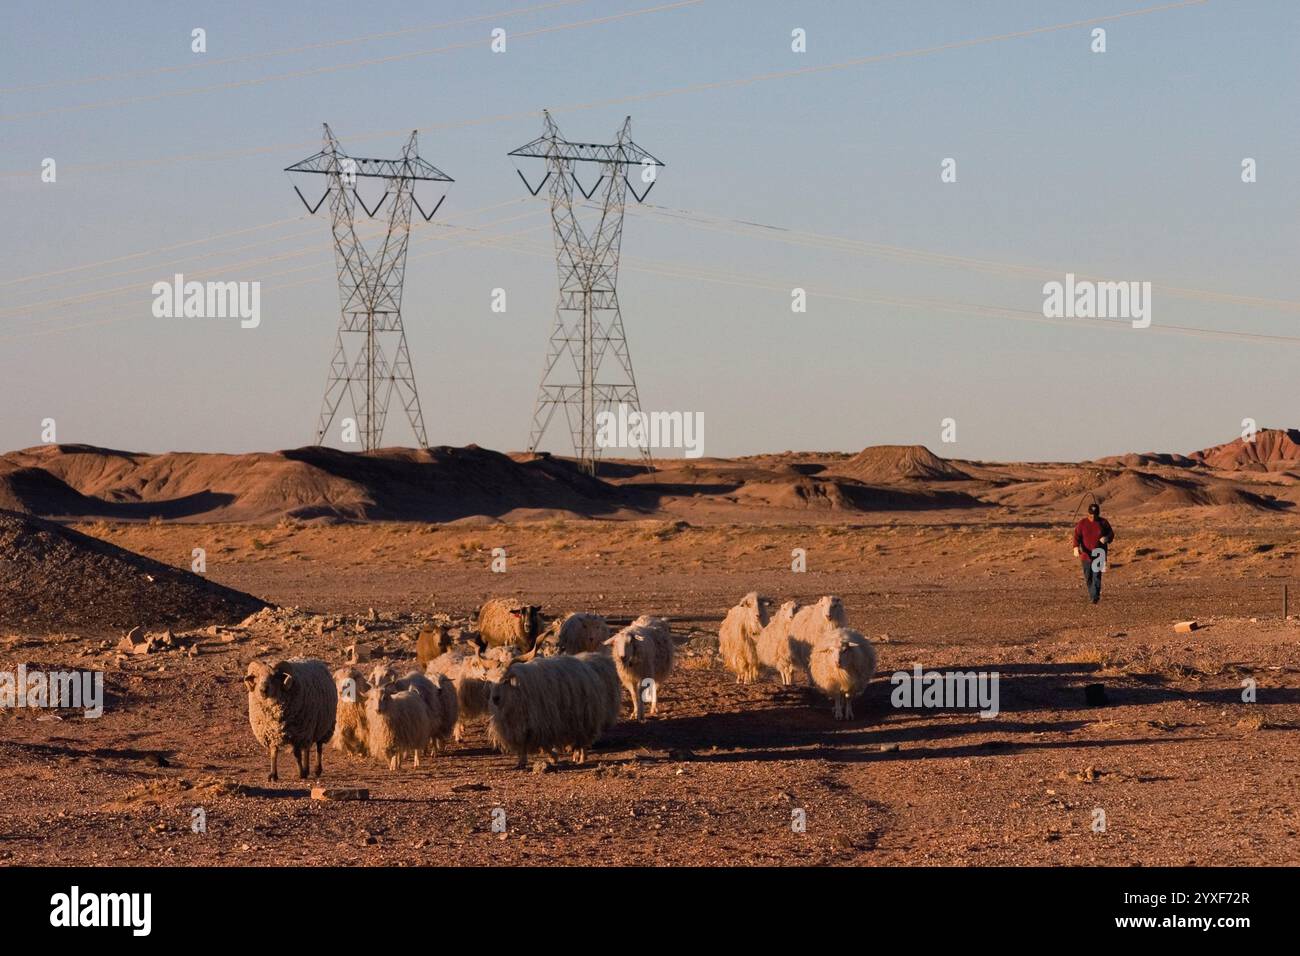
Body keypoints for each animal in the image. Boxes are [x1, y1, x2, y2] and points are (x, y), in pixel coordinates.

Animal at [487, 651, 621, 768]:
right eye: (489, 681)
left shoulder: (541, 722)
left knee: (583, 739)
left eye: (505, 680)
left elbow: (543, 743)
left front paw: (553, 758)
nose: (495, 698)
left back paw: (582, 758)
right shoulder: (521, 724)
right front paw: (521, 762)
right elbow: (524, 744)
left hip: (586, 716)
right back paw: (576, 756)